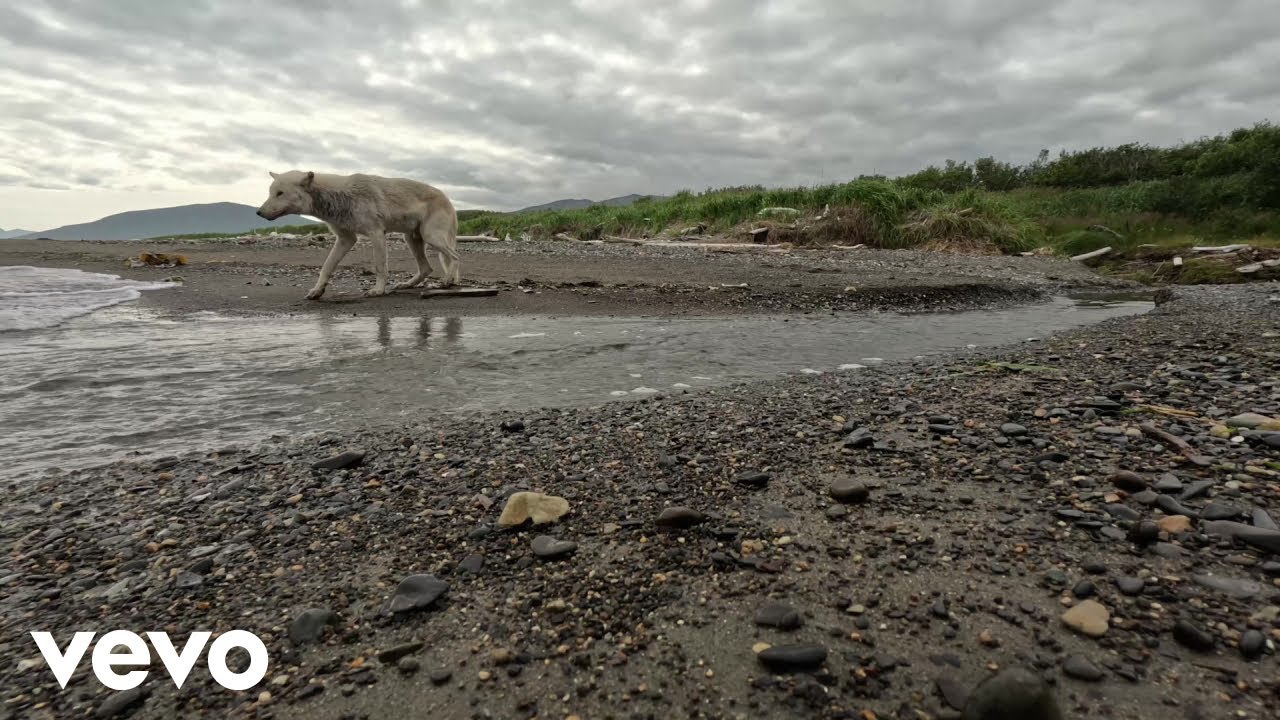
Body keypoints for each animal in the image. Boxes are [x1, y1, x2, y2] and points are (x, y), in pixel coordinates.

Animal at [255, 170, 461, 299]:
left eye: (280, 193)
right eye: (270, 193)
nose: (258, 212)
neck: (337, 198)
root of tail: (447, 198)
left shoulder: (376, 234)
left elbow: (380, 267)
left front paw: (378, 290)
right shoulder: (345, 239)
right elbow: (326, 266)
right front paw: (317, 290)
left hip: (431, 237)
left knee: (455, 256)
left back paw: (448, 281)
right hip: (411, 239)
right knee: (427, 268)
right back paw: (407, 285)